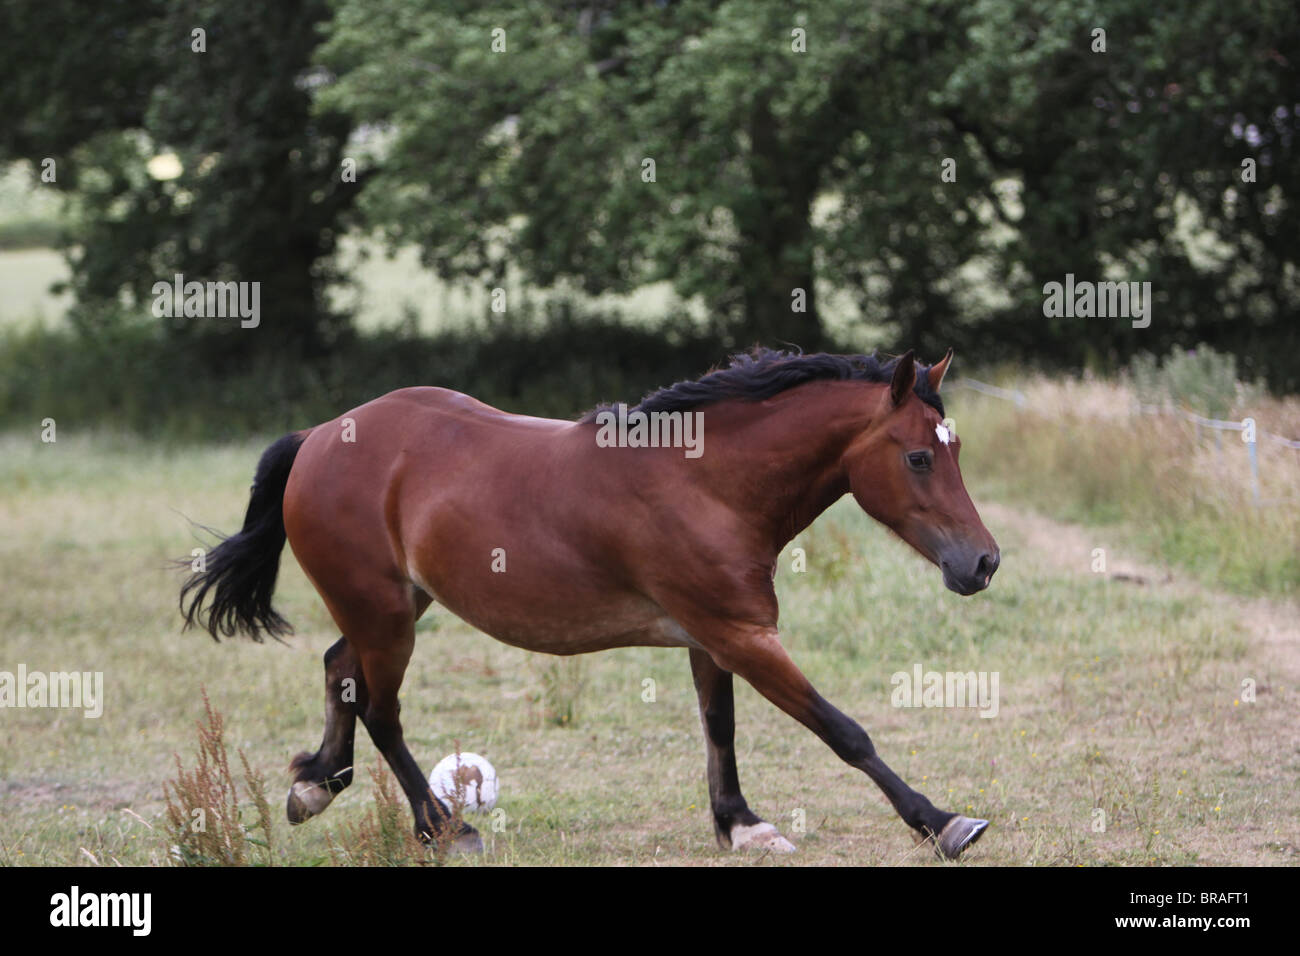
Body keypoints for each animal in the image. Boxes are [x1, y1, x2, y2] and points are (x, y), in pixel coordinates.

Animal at [179, 346, 1000, 859]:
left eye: (957, 449)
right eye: (918, 456)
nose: (984, 563)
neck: (705, 482)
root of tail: (319, 436)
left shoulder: (713, 638)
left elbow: (721, 728)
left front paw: (741, 826)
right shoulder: (741, 634)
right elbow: (843, 731)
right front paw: (943, 823)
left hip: (394, 609)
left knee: (338, 669)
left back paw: (315, 783)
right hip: (385, 617)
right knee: (382, 710)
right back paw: (444, 829)